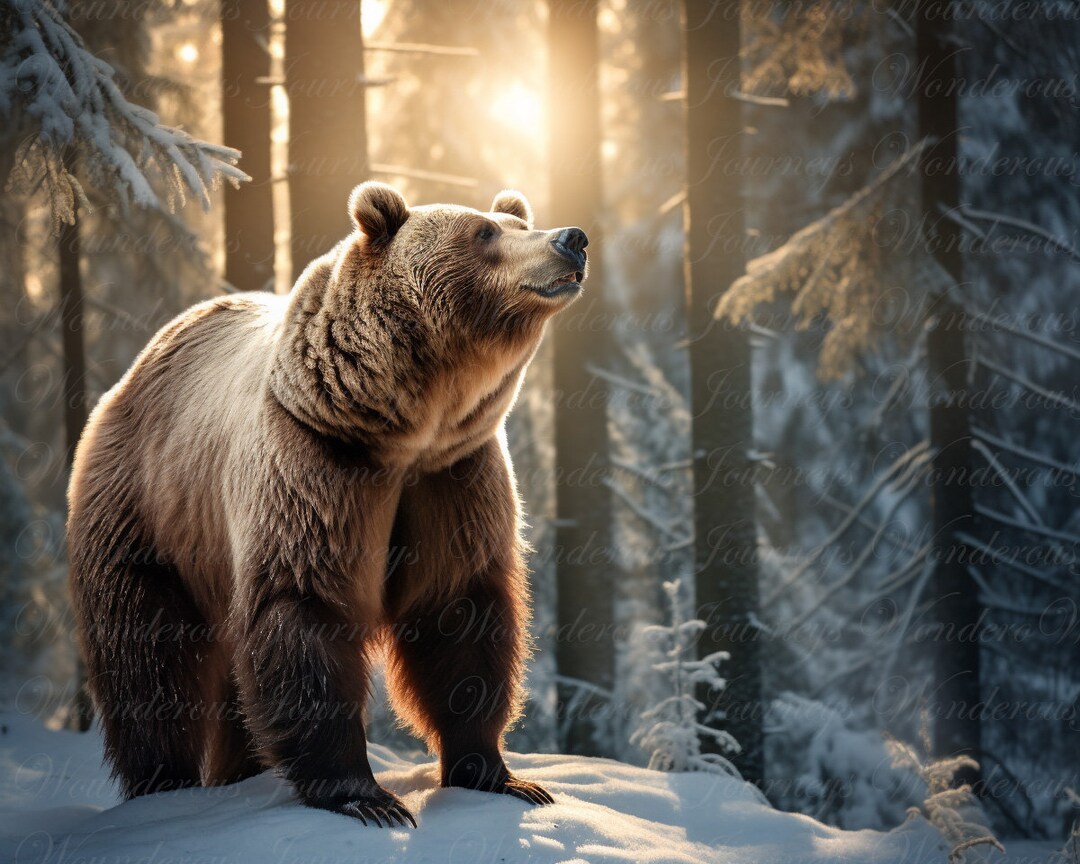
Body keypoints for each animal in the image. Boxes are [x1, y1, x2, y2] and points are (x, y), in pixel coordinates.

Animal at [66, 182, 589, 828]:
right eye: (484, 233)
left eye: (514, 222)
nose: (572, 239)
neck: (408, 425)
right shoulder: (318, 462)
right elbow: (307, 608)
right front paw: (366, 797)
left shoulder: (452, 476)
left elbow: (459, 614)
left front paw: (500, 776)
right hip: (149, 513)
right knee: (148, 661)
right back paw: (164, 784)